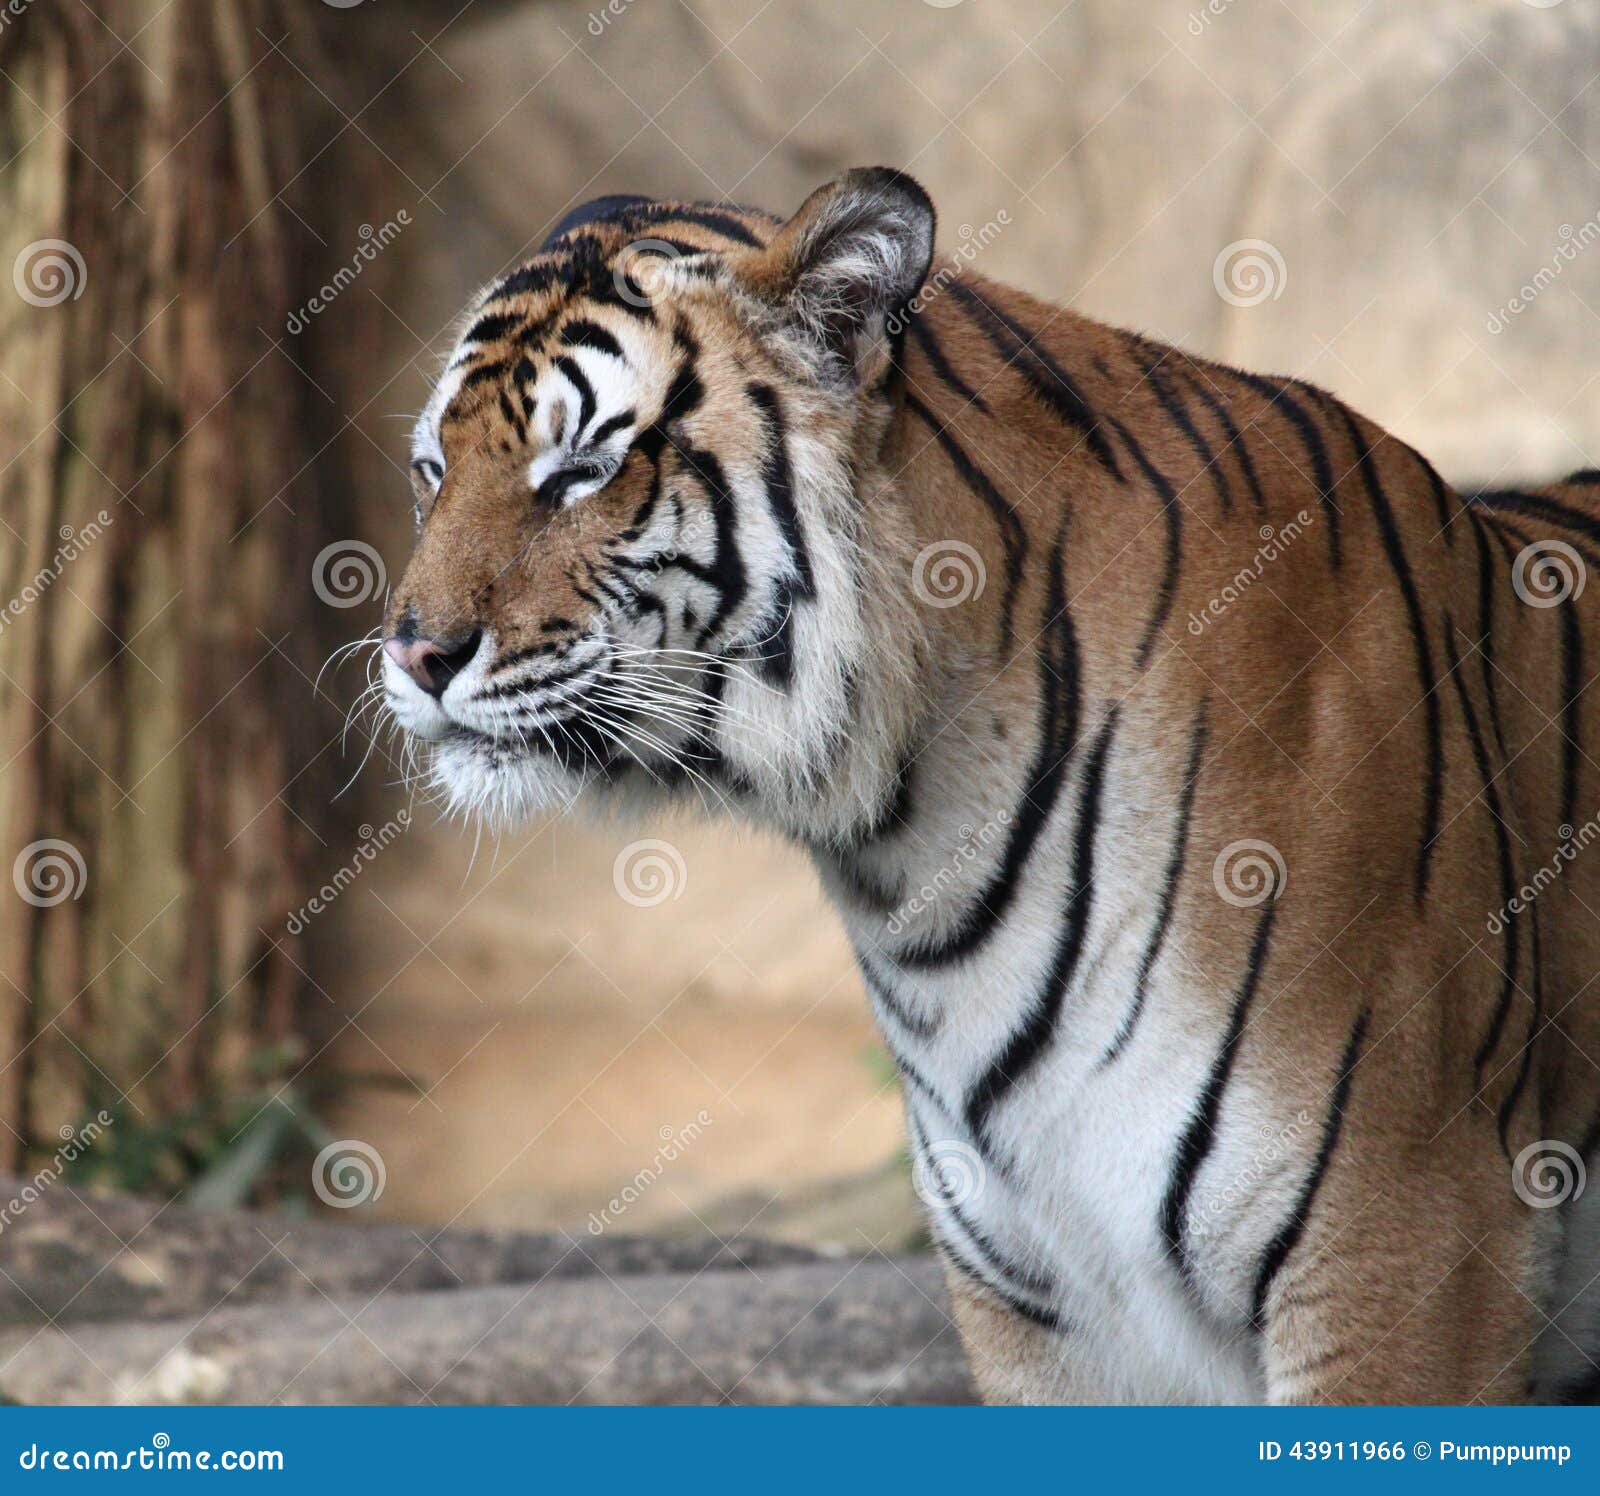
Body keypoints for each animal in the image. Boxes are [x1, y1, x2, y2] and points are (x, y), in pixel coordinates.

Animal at [379, 166, 1600, 1405]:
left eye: (579, 470)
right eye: (432, 470)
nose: (415, 653)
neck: (913, 848)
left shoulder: (1406, 1245)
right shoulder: (1038, 1299)